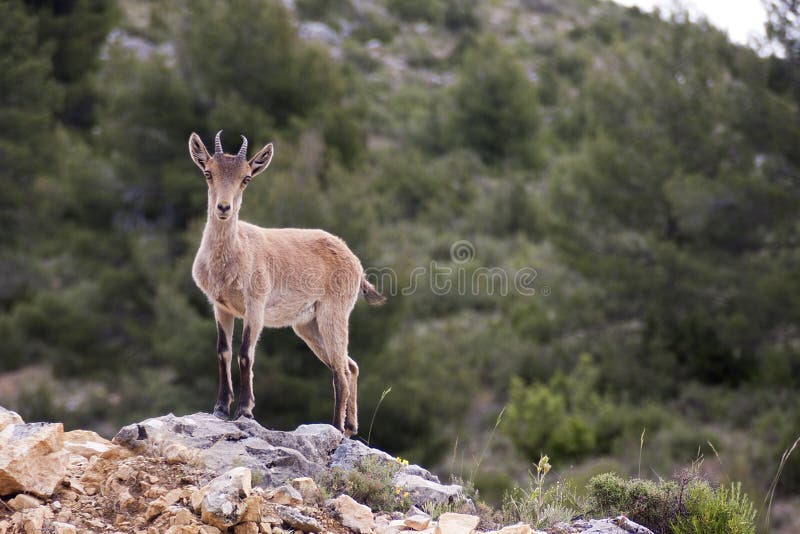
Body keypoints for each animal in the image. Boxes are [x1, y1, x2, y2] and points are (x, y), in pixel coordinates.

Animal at [188, 131, 385, 436]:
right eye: (208, 172)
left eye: (246, 178)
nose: (223, 207)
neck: (234, 253)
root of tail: (355, 261)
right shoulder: (221, 307)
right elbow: (223, 352)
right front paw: (220, 409)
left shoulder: (255, 304)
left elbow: (246, 353)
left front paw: (245, 410)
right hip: (307, 325)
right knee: (348, 365)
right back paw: (351, 428)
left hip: (334, 313)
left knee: (340, 369)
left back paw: (335, 428)